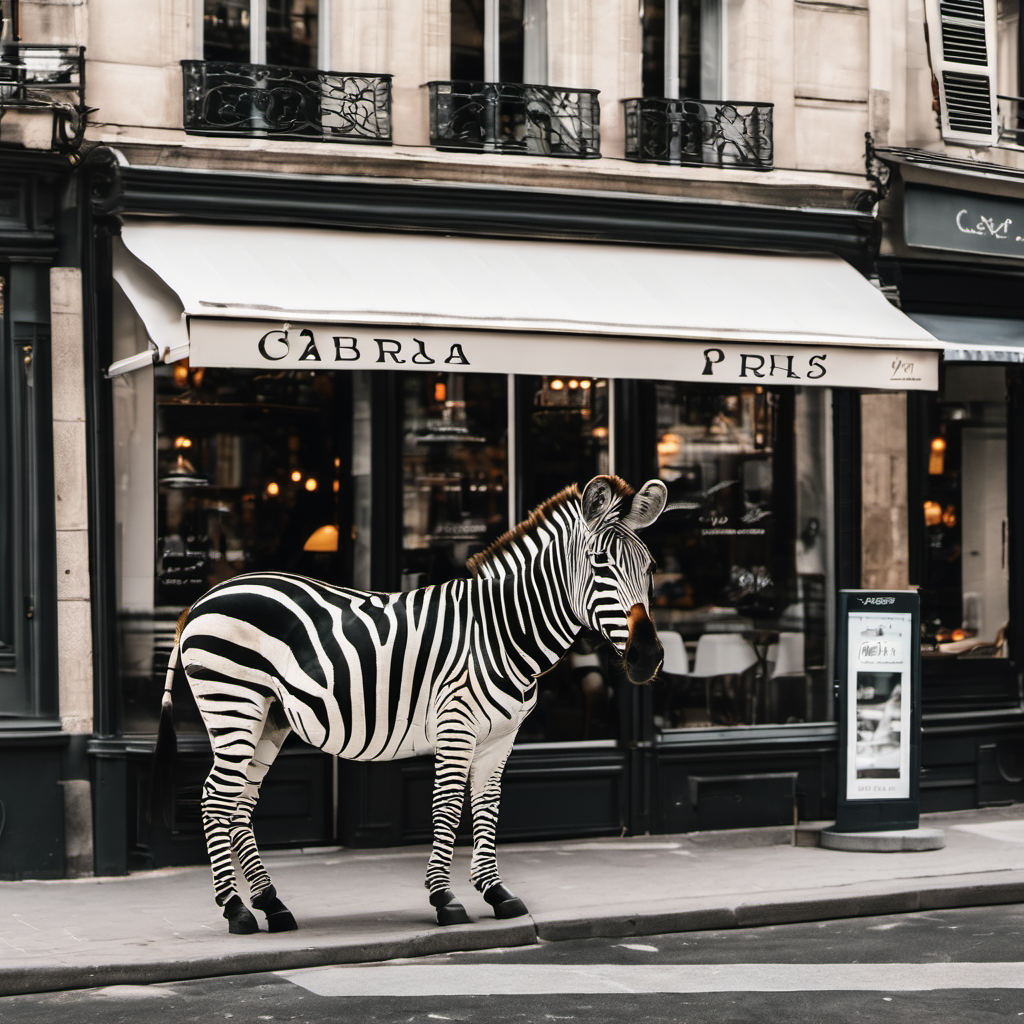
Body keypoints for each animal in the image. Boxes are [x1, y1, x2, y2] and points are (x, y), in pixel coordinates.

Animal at [149, 474, 668, 934]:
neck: (500, 631)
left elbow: (488, 807)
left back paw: (271, 905)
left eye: (649, 567)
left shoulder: (501, 738)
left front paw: (496, 892)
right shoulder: (457, 724)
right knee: (215, 797)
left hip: (269, 718)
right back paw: (236, 911)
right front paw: (444, 898)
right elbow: (448, 806)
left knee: (240, 802)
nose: (648, 656)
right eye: (599, 563)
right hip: (233, 703)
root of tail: (200, 600)